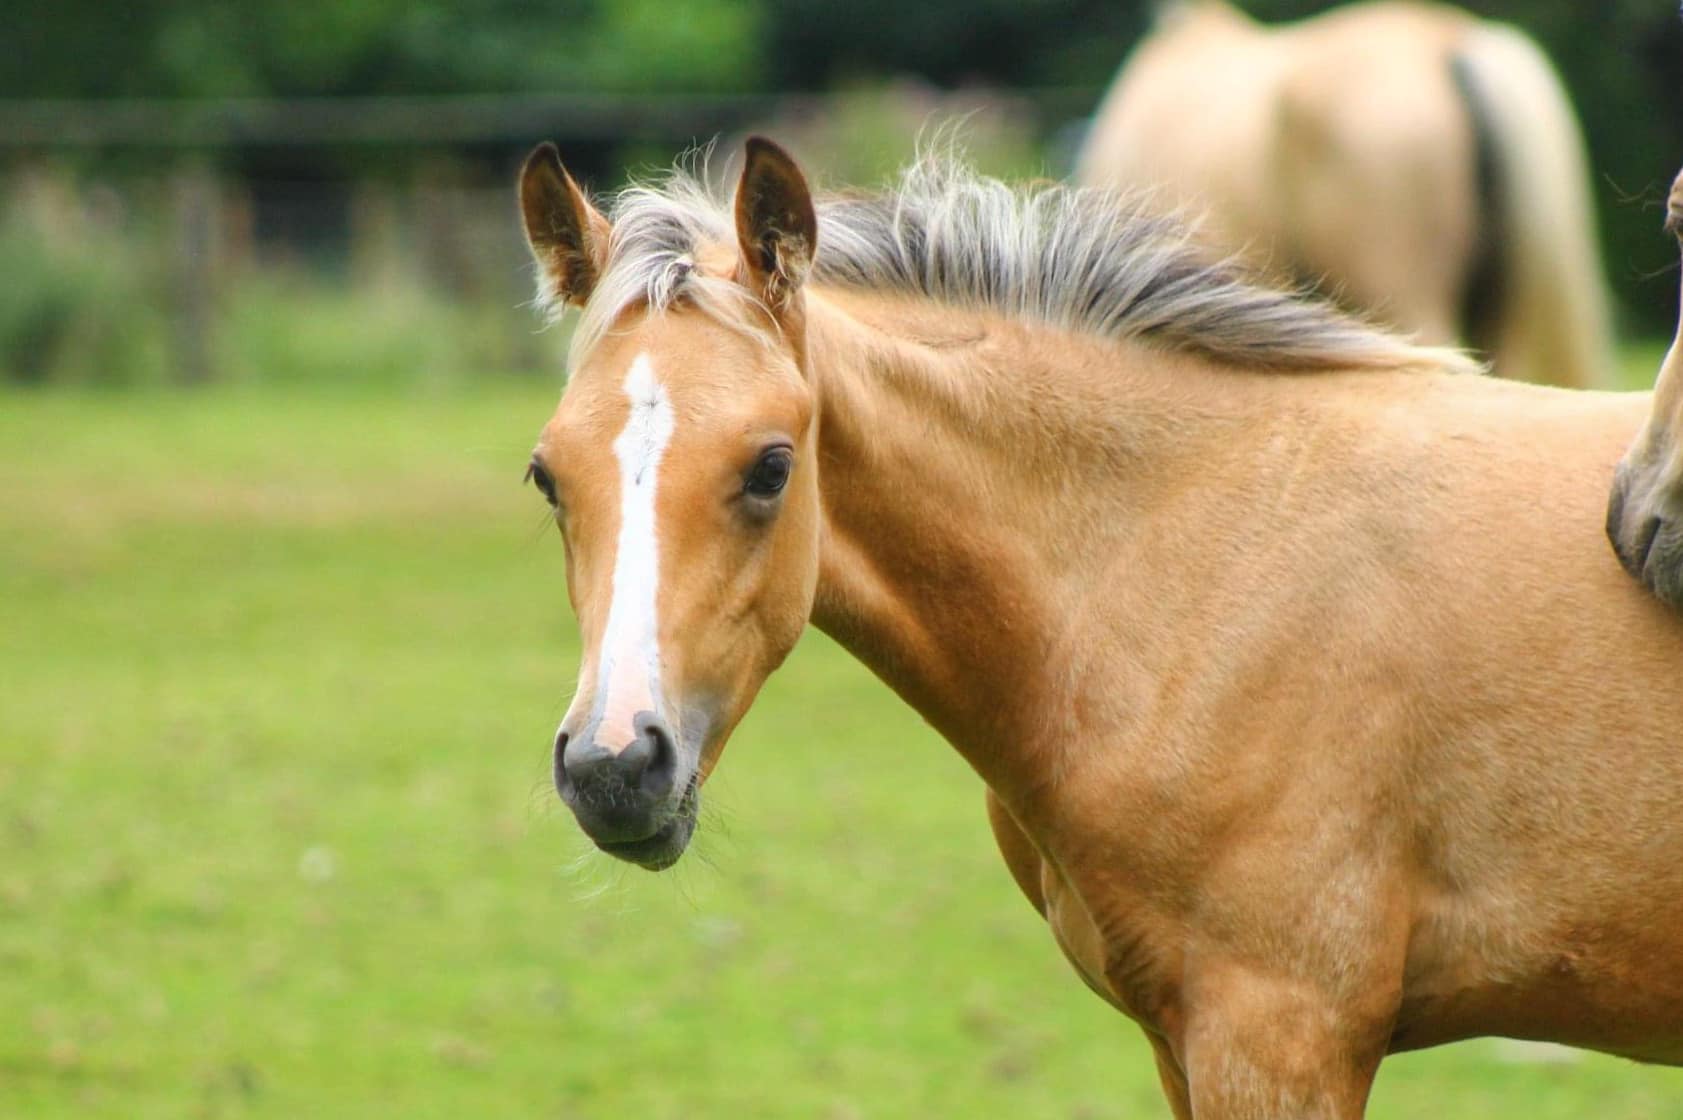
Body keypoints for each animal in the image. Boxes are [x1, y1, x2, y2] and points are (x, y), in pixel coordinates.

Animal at [515, 137, 1683, 1118]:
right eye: (546, 476)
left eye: (769, 467)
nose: (614, 765)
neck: (1191, 559)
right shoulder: (1183, 1044)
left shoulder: (1279, 1034)